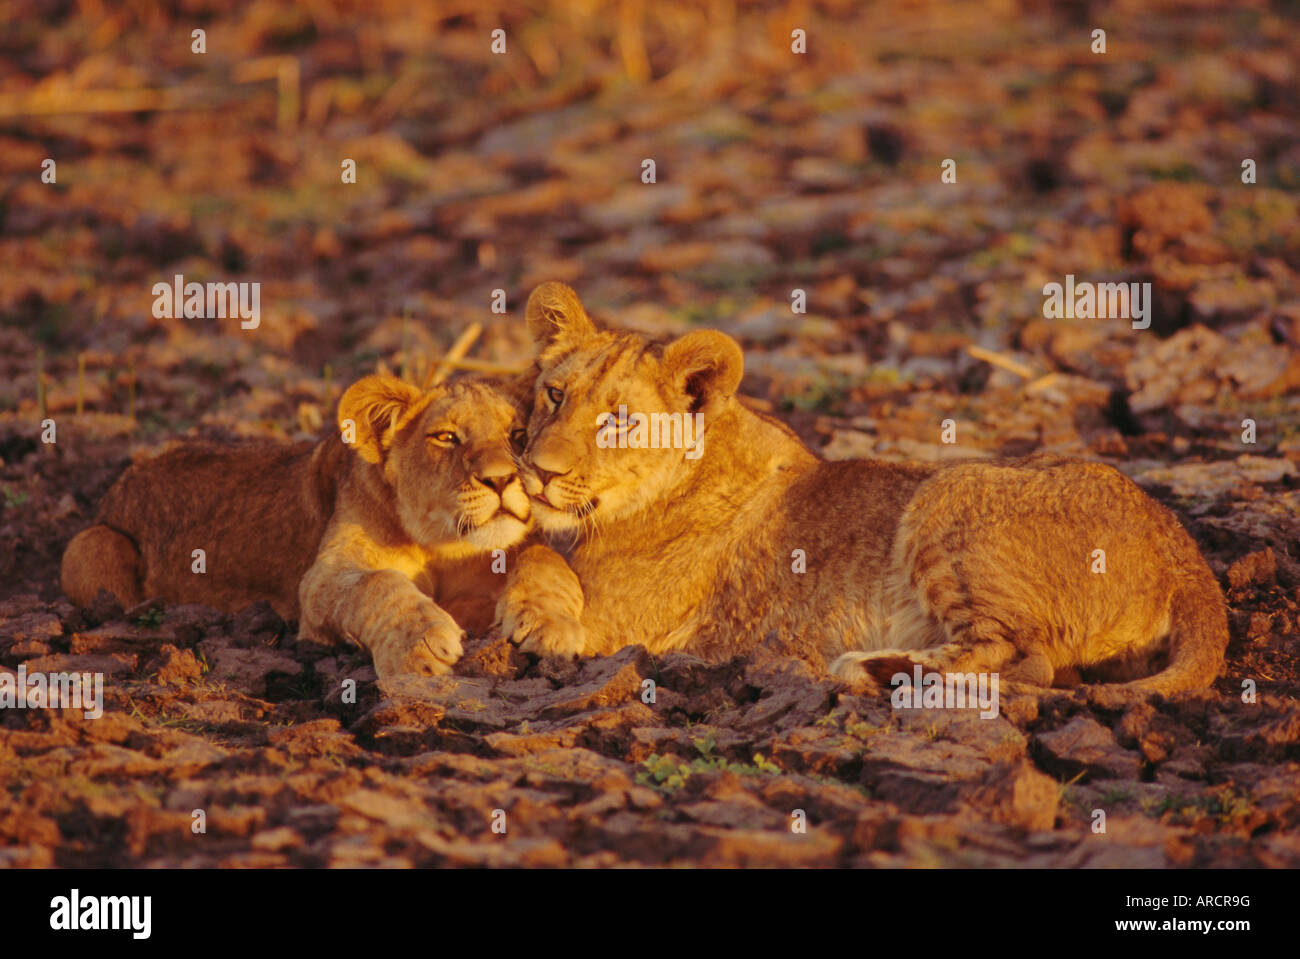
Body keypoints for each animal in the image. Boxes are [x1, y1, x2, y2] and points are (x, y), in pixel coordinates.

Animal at [61, 374, 536, 678]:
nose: (500, 479)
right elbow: (378, 583)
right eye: (446, 438)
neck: (442, 545)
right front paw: (423, 643)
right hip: (91, 545)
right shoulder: (319, 582)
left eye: (517, 435)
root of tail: (125, 478)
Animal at [497, 282, 1228, 697]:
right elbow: (531, 545)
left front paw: (539, 621)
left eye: (619, 420)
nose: (541, 470)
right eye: (555, 394)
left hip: (950, 491)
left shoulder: (627, 623)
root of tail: (1182, 548)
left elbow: (534, 554)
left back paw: (868, 669)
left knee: (1027, 659)